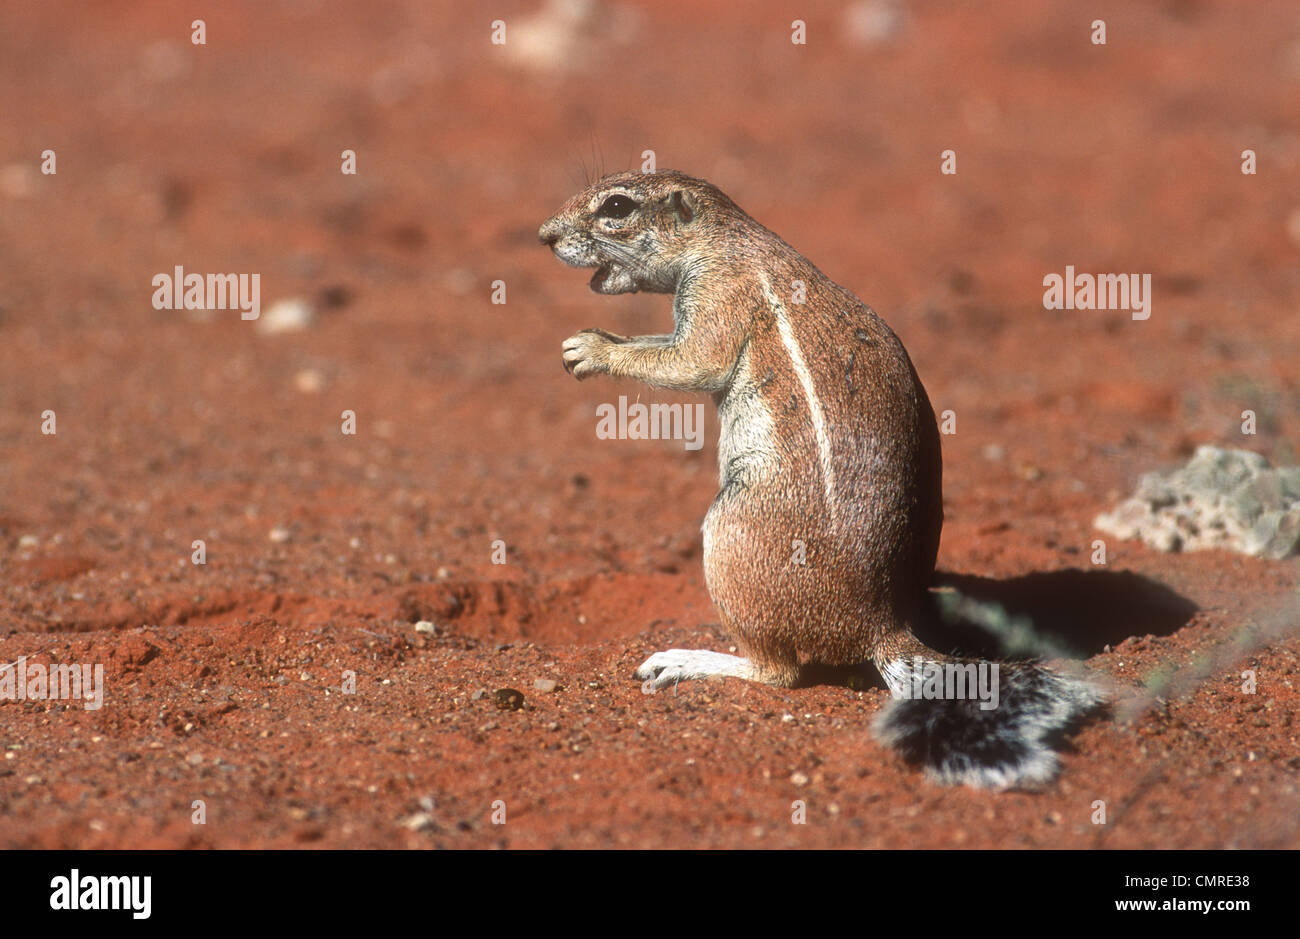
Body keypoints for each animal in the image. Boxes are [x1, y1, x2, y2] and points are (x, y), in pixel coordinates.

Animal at [539, 170, 1105, 789]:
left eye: (617, 206)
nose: (544, 235)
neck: (720, 241)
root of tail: (878, 626)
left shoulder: (720, 299)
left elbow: (693, 363)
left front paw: (593, 348)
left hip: (730, 532)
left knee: (777, 673)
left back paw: (690, 660)